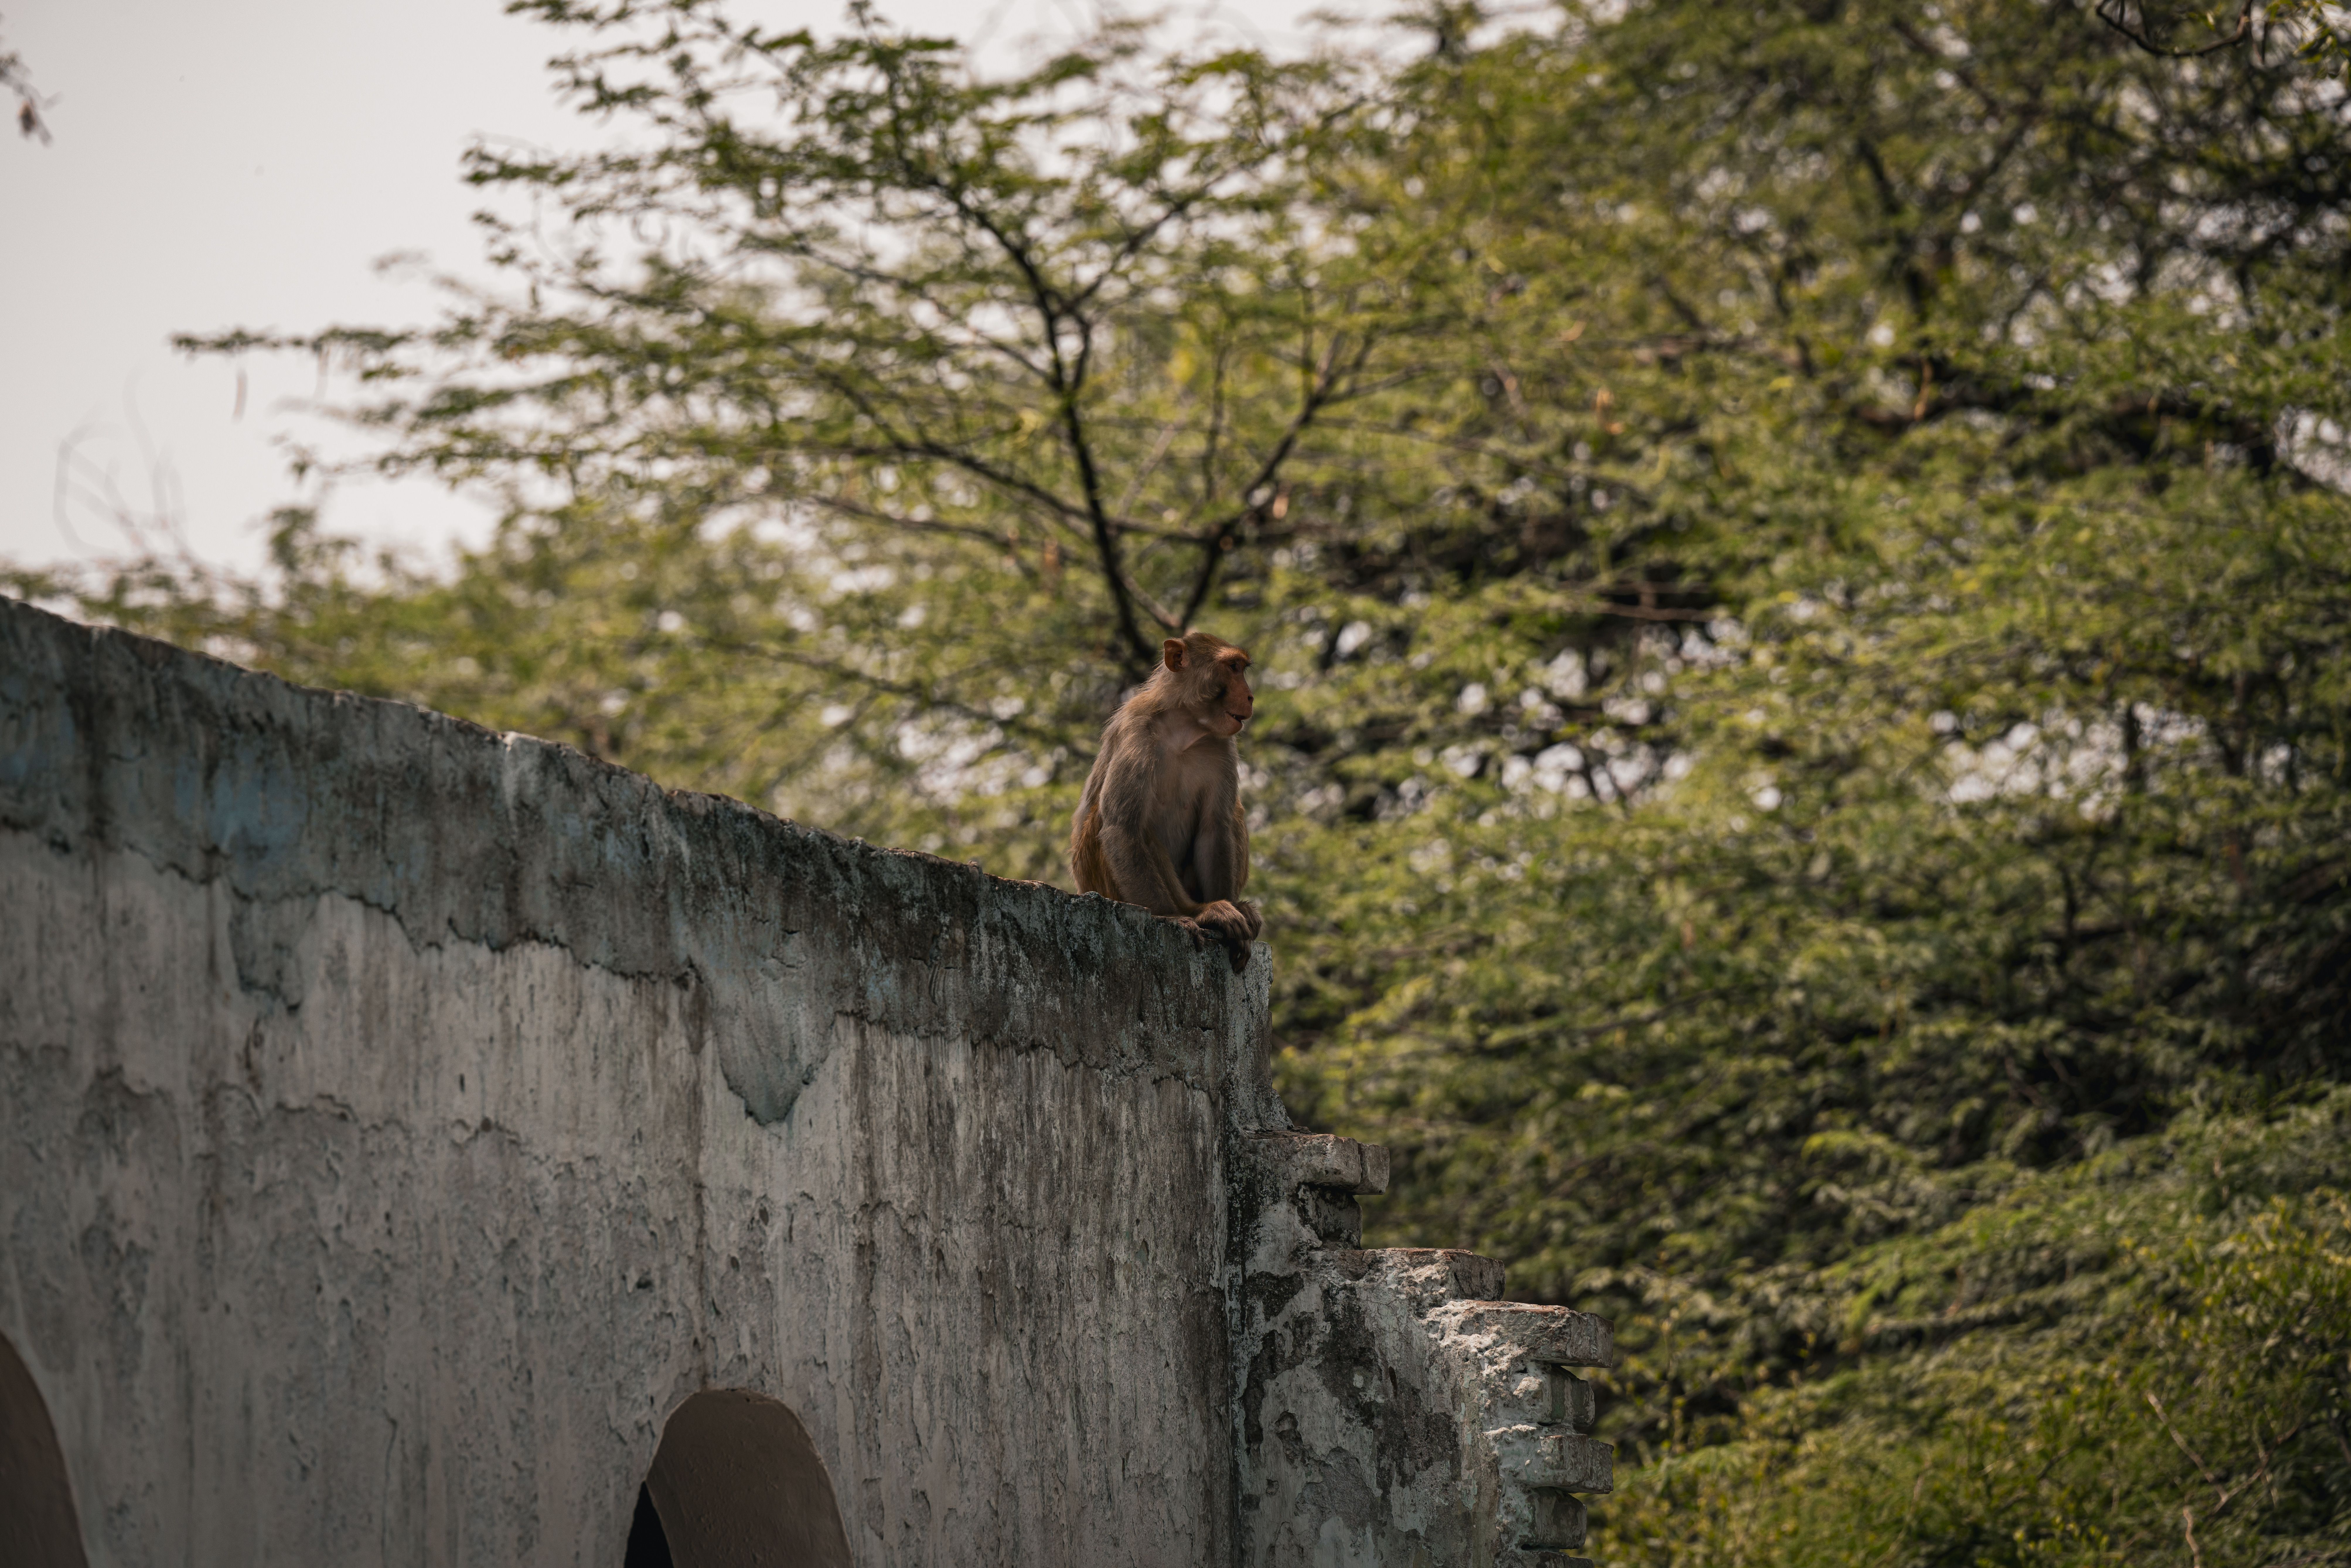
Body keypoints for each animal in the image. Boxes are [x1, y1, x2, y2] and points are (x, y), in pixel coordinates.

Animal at [1070, 629, 1264, 972]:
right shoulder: (1137, 731)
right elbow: (1122, 828)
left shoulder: (1222, 746)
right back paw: (1198, 910)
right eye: (1233, 668)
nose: (1251, 696)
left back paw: (1235, 908)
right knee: (1127, 825)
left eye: (1242, 668)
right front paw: (1177, 917)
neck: (1184, 728)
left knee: (1233, 813)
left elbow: (1215, 827)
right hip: (1102, 882)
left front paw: (1233, 926)